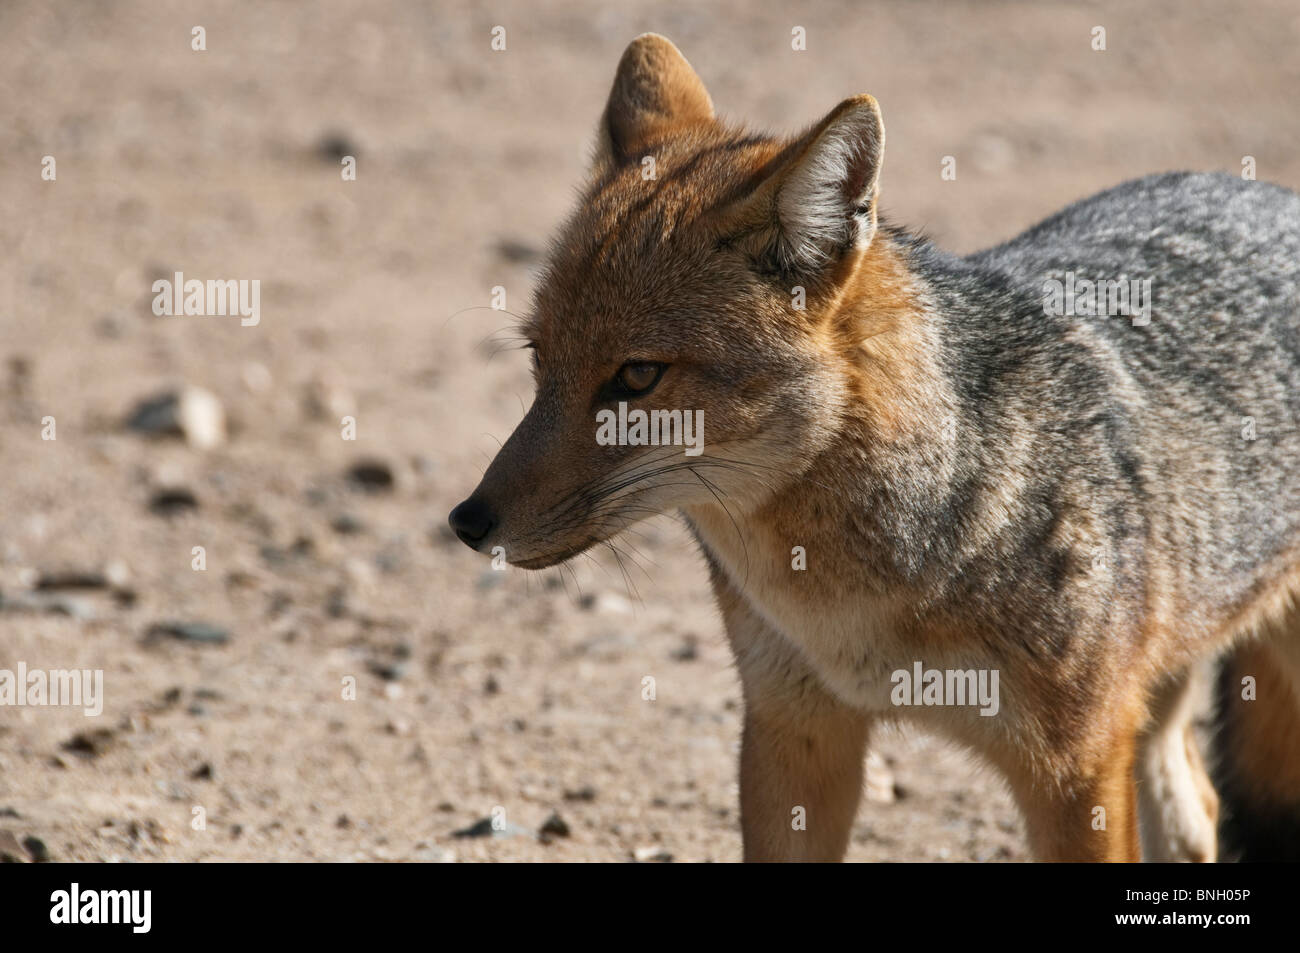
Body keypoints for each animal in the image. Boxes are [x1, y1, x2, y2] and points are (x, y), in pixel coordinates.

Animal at [449, 34, 1300, 862]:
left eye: (635, 377)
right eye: (538, 358)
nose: (467, 521)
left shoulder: (1074, 765)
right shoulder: (793, 733)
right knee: (1196, 807)